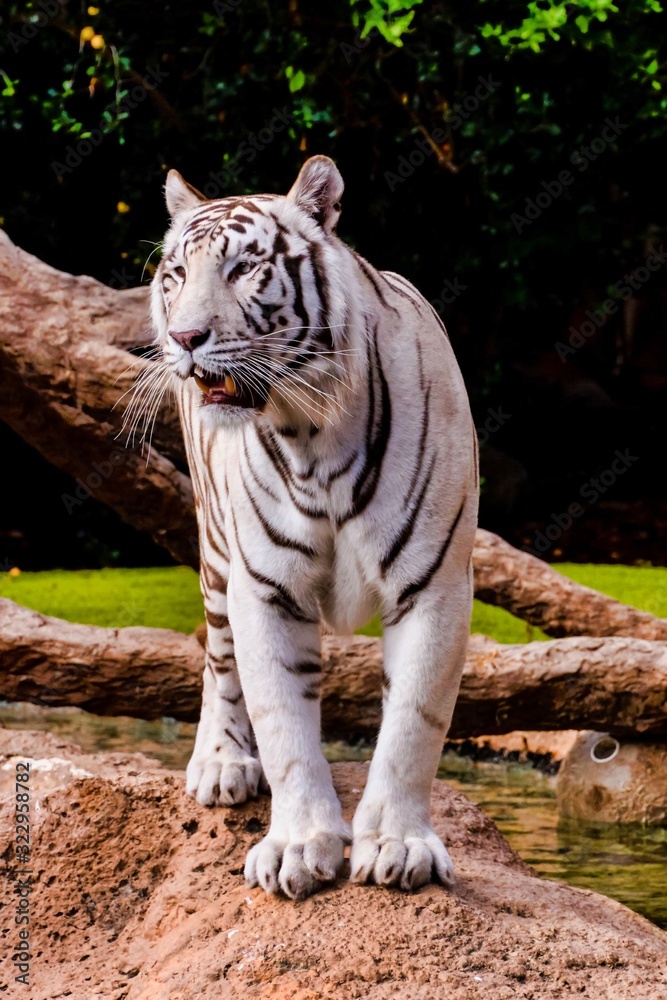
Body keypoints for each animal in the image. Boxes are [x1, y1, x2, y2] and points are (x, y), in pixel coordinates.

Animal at [150, 155, 478, 900]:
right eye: (175, 273)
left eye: (243, 268)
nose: (185, 339)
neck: (310, 432)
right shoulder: (265, 588)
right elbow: (283, 726)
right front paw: (298, 846)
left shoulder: (434, 584)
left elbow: (413, 724)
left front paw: (397, 845)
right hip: (216, 553)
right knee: (218, 659)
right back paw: (221, 763)